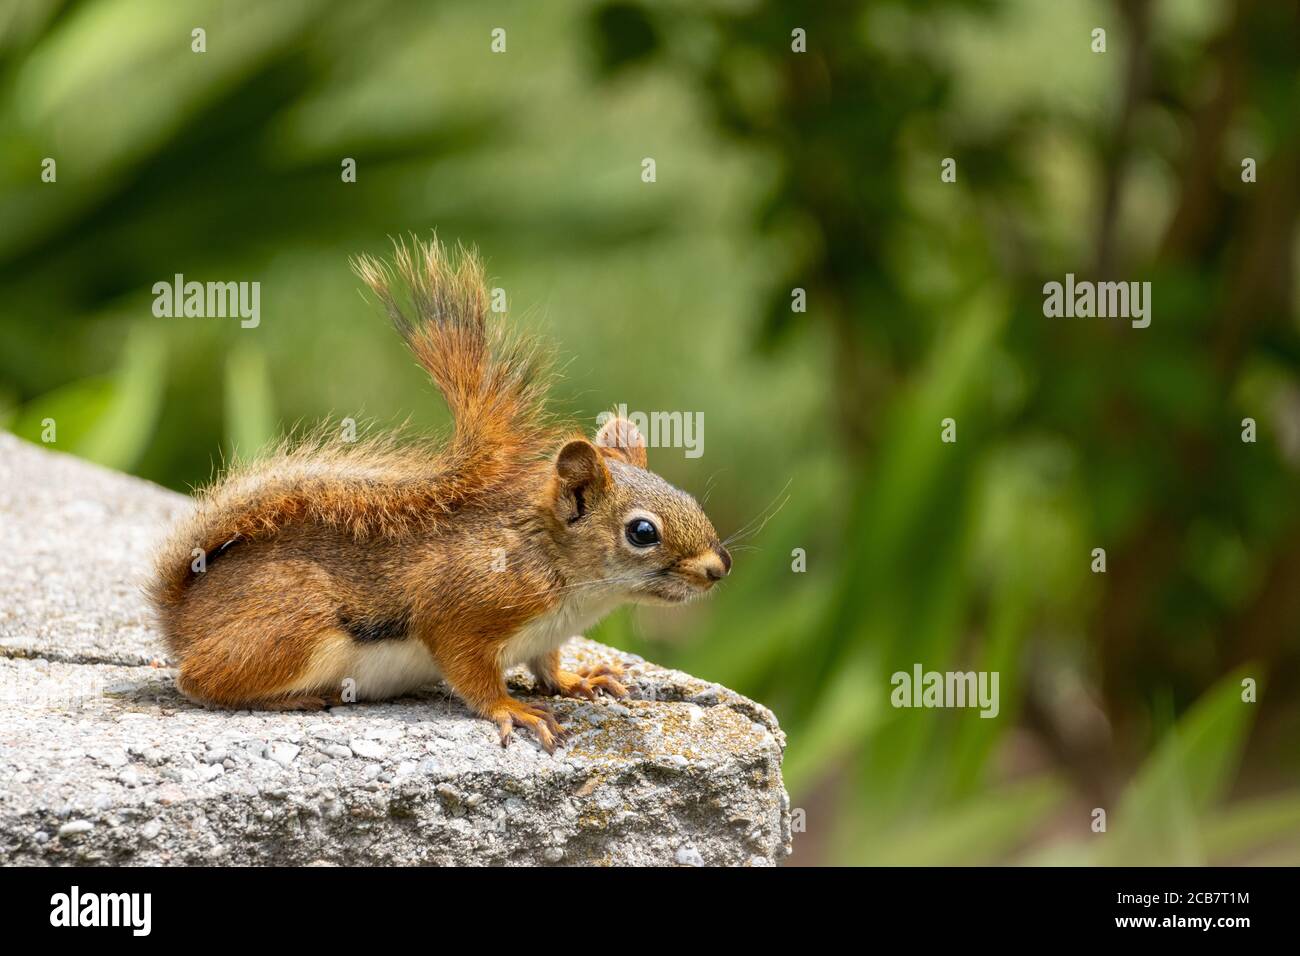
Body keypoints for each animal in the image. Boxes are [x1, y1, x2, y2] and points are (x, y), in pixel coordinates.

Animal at [148, 237, 731, 752]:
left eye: (691, 500)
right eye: (642, 532)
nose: (718, 568)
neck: (570, 579)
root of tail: (181, 619)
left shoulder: (546, 637)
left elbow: (547, 666)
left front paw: (578, 680)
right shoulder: (467, 606)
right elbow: (469, 669)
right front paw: (512, 709)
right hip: (292, 629)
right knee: (199, 680)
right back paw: (285, 698)